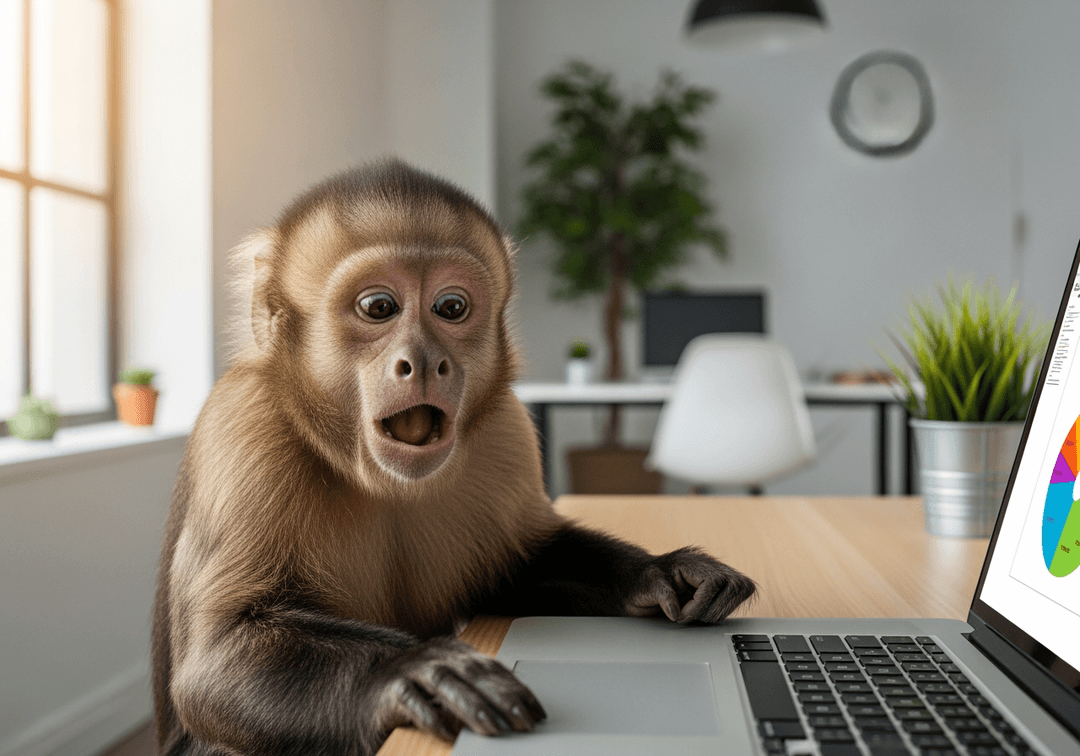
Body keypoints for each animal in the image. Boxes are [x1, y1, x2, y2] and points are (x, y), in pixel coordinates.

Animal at [151, 158, 756, 756]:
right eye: (378, 307)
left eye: (452, 308)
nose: (423, 360)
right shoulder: (245, 431)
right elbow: (214, 667)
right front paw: (409, 670)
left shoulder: (507, 434)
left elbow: (513, 573)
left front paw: (656, 572)